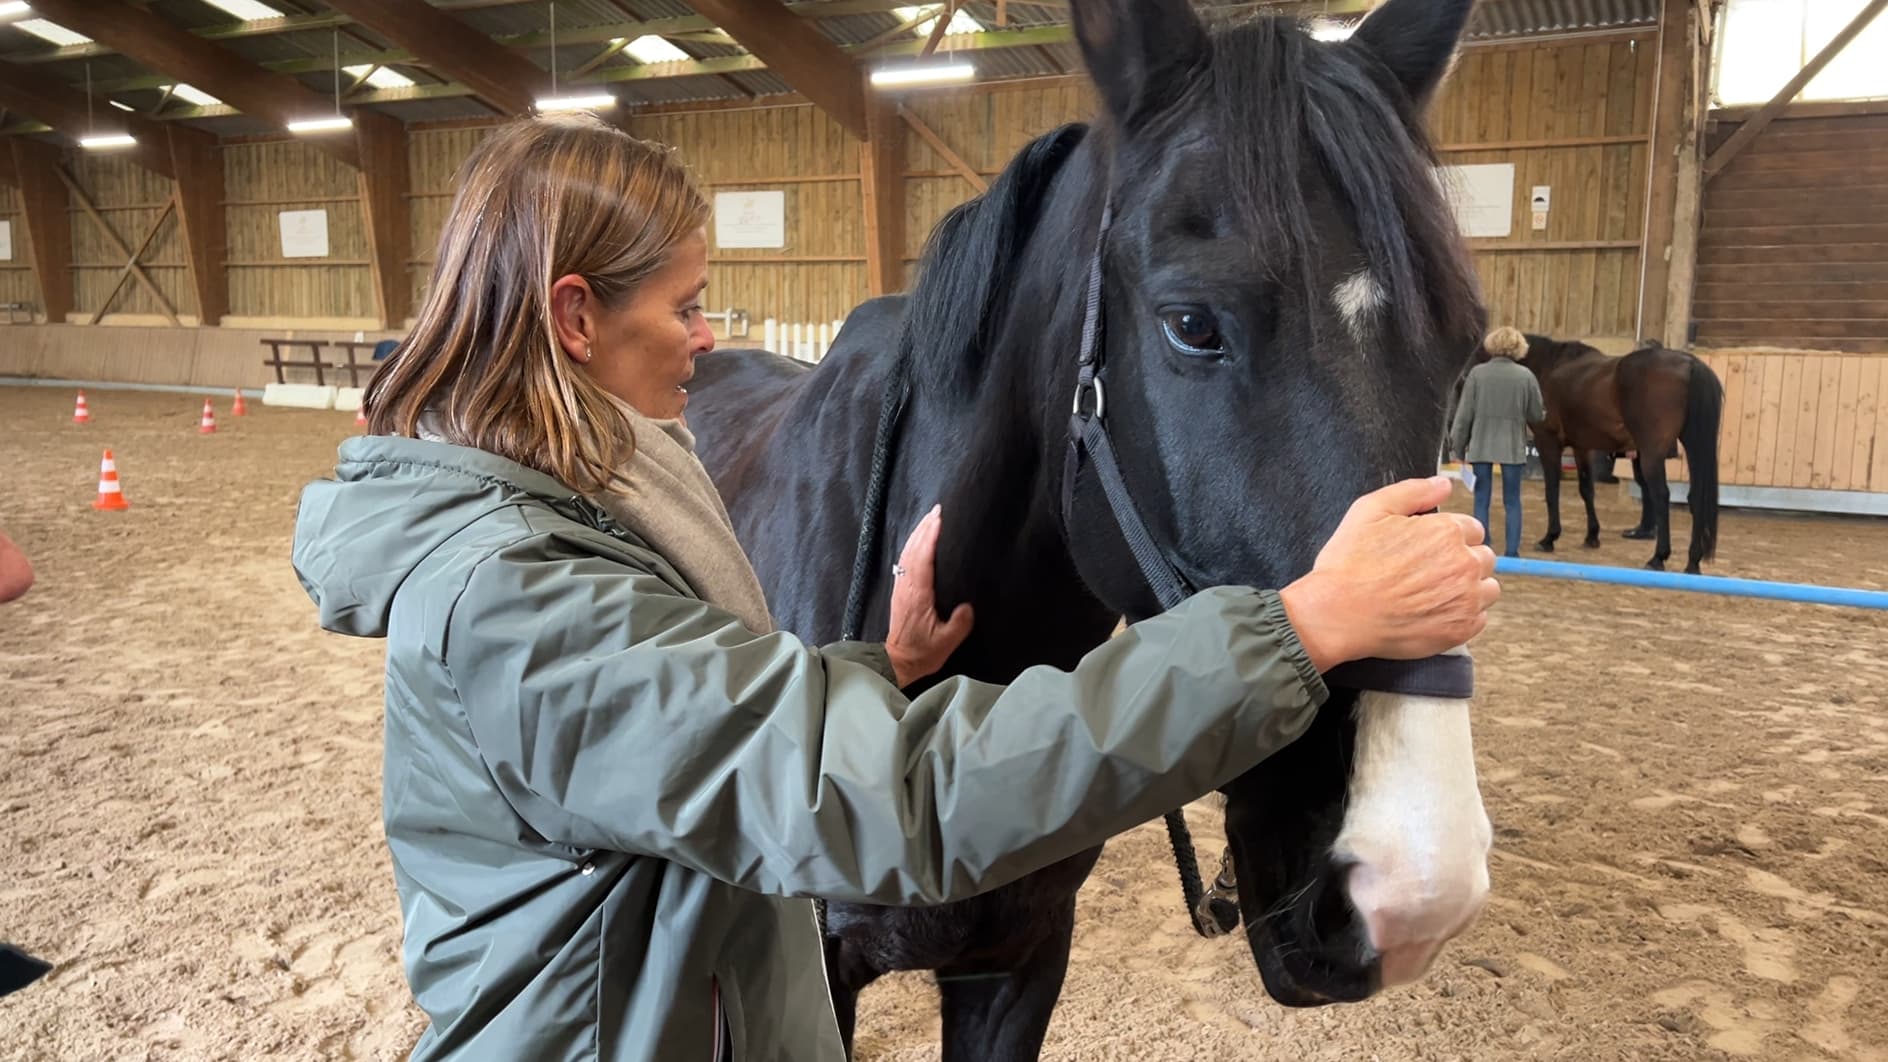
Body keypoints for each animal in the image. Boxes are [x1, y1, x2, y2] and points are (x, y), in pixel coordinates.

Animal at [1489, 333, 1722, 574]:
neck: (1549, 365)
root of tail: (1689, 363)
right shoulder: (1582, 446)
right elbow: (1586, 489)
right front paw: (1592, 536)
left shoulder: (1548, 442)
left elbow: (1552, 490)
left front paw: (1549, 538)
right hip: (1692, 446)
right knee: (1696, 498)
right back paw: (1692, 562)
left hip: (1652, 455)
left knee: (1661, 495)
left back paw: (1658, 557)